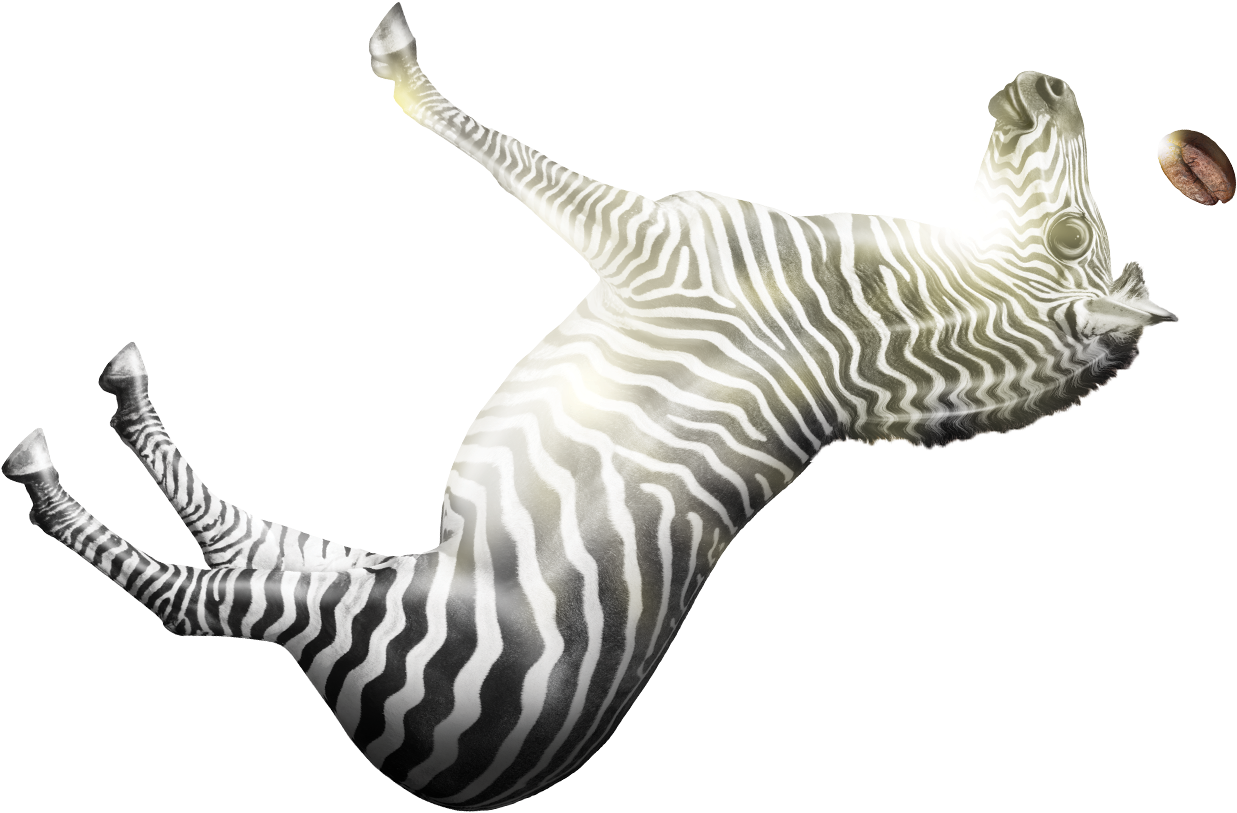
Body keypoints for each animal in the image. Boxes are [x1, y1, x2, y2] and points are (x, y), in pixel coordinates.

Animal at [4, 1, 1178, 809]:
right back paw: (111, 405)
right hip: (364, 573)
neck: (866, 311)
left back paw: (59, 452)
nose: (1049, 79)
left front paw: (400, 64)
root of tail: (450, 780)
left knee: (201, 593)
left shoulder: (643, 235)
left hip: (341, 607)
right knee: (230, 555)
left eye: (1073, 235)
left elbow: (505, 157)